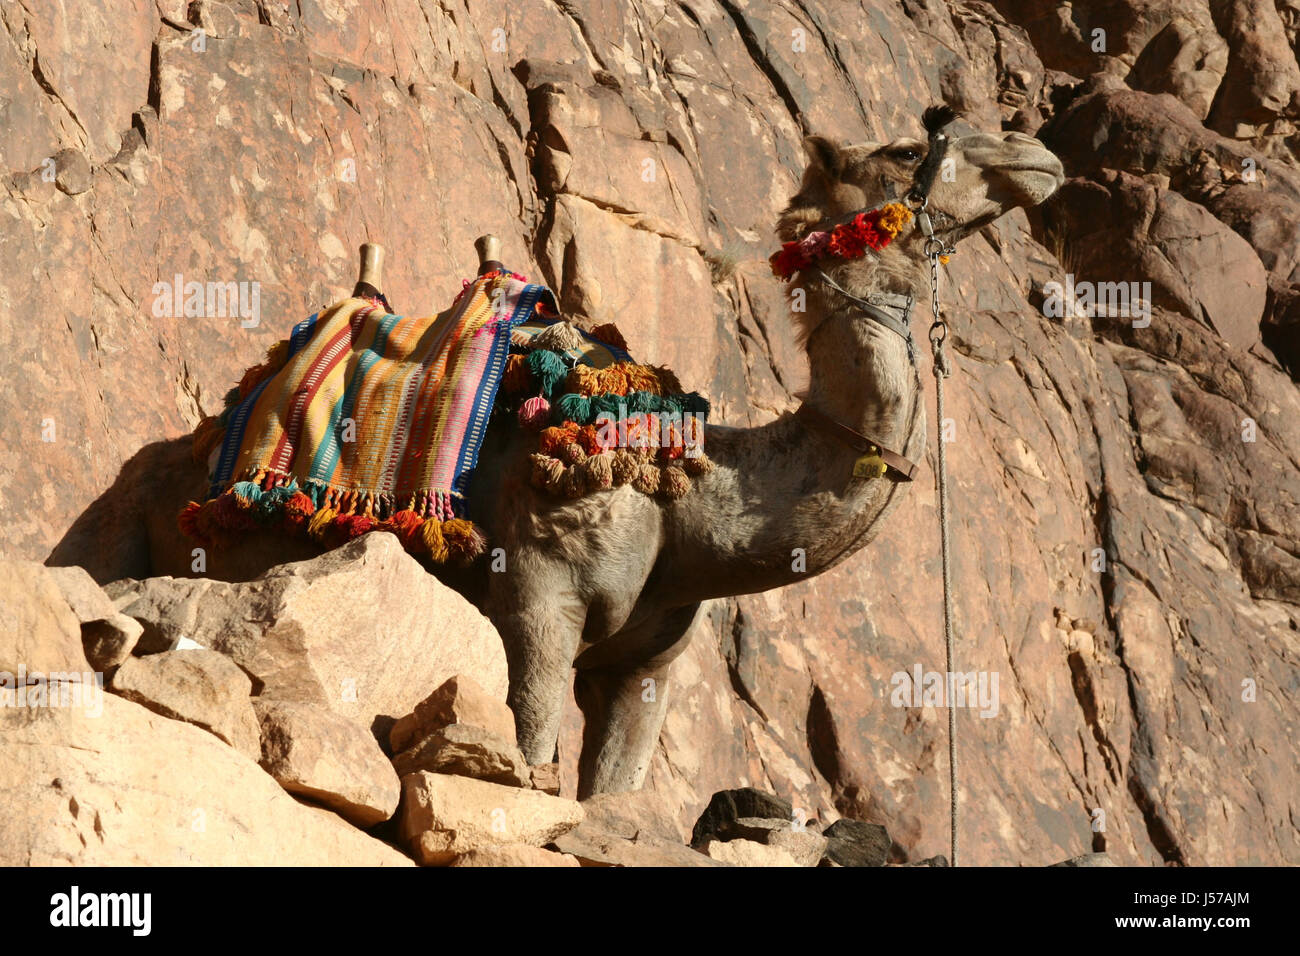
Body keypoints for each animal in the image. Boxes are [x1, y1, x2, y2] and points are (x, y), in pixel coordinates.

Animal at [49, 118, 1064, 796]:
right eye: (905, 146)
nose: (1034, 152)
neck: (691, 500)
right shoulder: (541, 588)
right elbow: (533, 747)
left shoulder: (651, 660)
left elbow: (610, 791)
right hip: (126, 522)